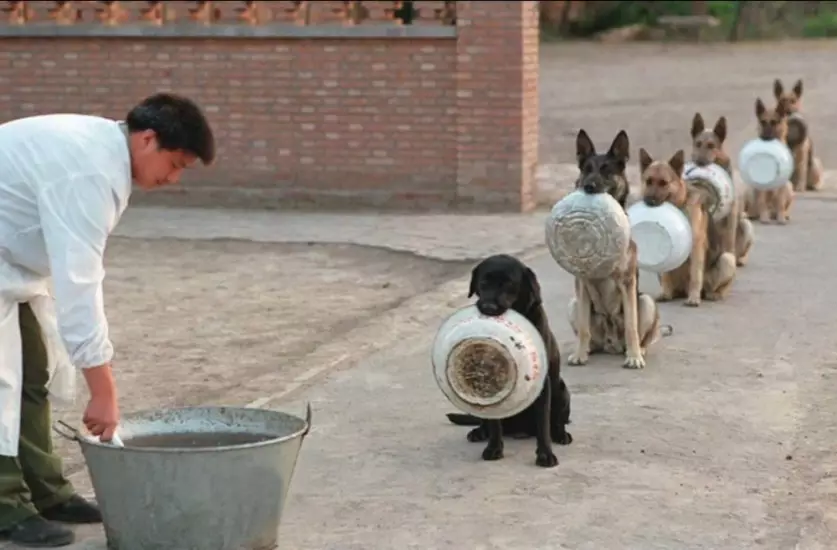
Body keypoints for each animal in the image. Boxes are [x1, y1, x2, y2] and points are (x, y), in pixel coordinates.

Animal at [444, 256, 568, 470]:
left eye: (509, 284)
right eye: (483, 282)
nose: (488, 308)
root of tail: (520, 430)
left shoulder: (543, 385)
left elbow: (543, 424)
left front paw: (545, 454)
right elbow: (495, 425)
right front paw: (494, 448)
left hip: (561, 389)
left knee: (557, 421)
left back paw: (561, 434)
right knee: (486, 422)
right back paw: (479, 432)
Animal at [564, 129, 664, 370]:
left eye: (606, 170)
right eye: (587, 169)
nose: (588, 187)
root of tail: (611, 344)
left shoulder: (627, 283)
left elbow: (631, 326)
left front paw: (634, 357)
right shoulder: (582, 284)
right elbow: (584, 327)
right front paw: (579, 354)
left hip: (646, 302)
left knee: (641, 333)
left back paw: (638, 350)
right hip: (573, 303)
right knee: (589, 333)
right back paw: (588, 349)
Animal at [636, 149, 736, 308]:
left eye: (663, 183)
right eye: (648, 181)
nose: (649, 201)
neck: (680, 204)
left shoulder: (696, 248)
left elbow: (695, 275)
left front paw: (693, 298)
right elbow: (666, 274)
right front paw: (666, 293)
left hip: (727, 259)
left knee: (715, 288)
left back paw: (712, 294)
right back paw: (671, 293)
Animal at [688, 112, 756, 268]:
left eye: (711, 146)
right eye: (698, 144)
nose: (699, 162)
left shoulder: (731, 217)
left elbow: (729, 240)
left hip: (745, 224)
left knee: (738, 251)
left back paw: (738, 259)